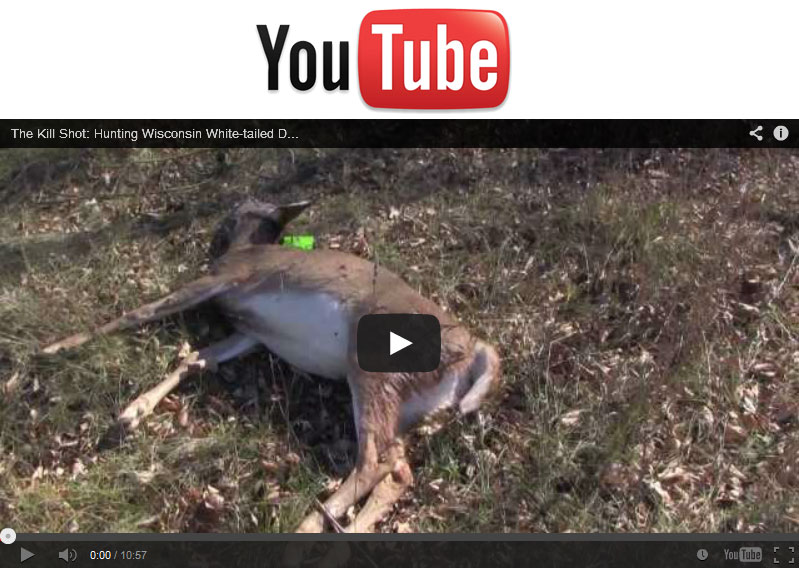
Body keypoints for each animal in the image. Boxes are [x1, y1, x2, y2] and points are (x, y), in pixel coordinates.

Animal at [41, 199, 502, 533]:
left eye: (239, 208)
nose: (214, 228)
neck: (243, 249)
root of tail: (473, 348)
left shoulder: (224, 278)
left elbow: (138, 313)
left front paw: (55, 347)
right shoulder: (253, 334)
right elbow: (195, 359)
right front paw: (130, 415)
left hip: (373, 366)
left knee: (375, 461)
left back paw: (310, 523)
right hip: (409, 403)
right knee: (399, 472)